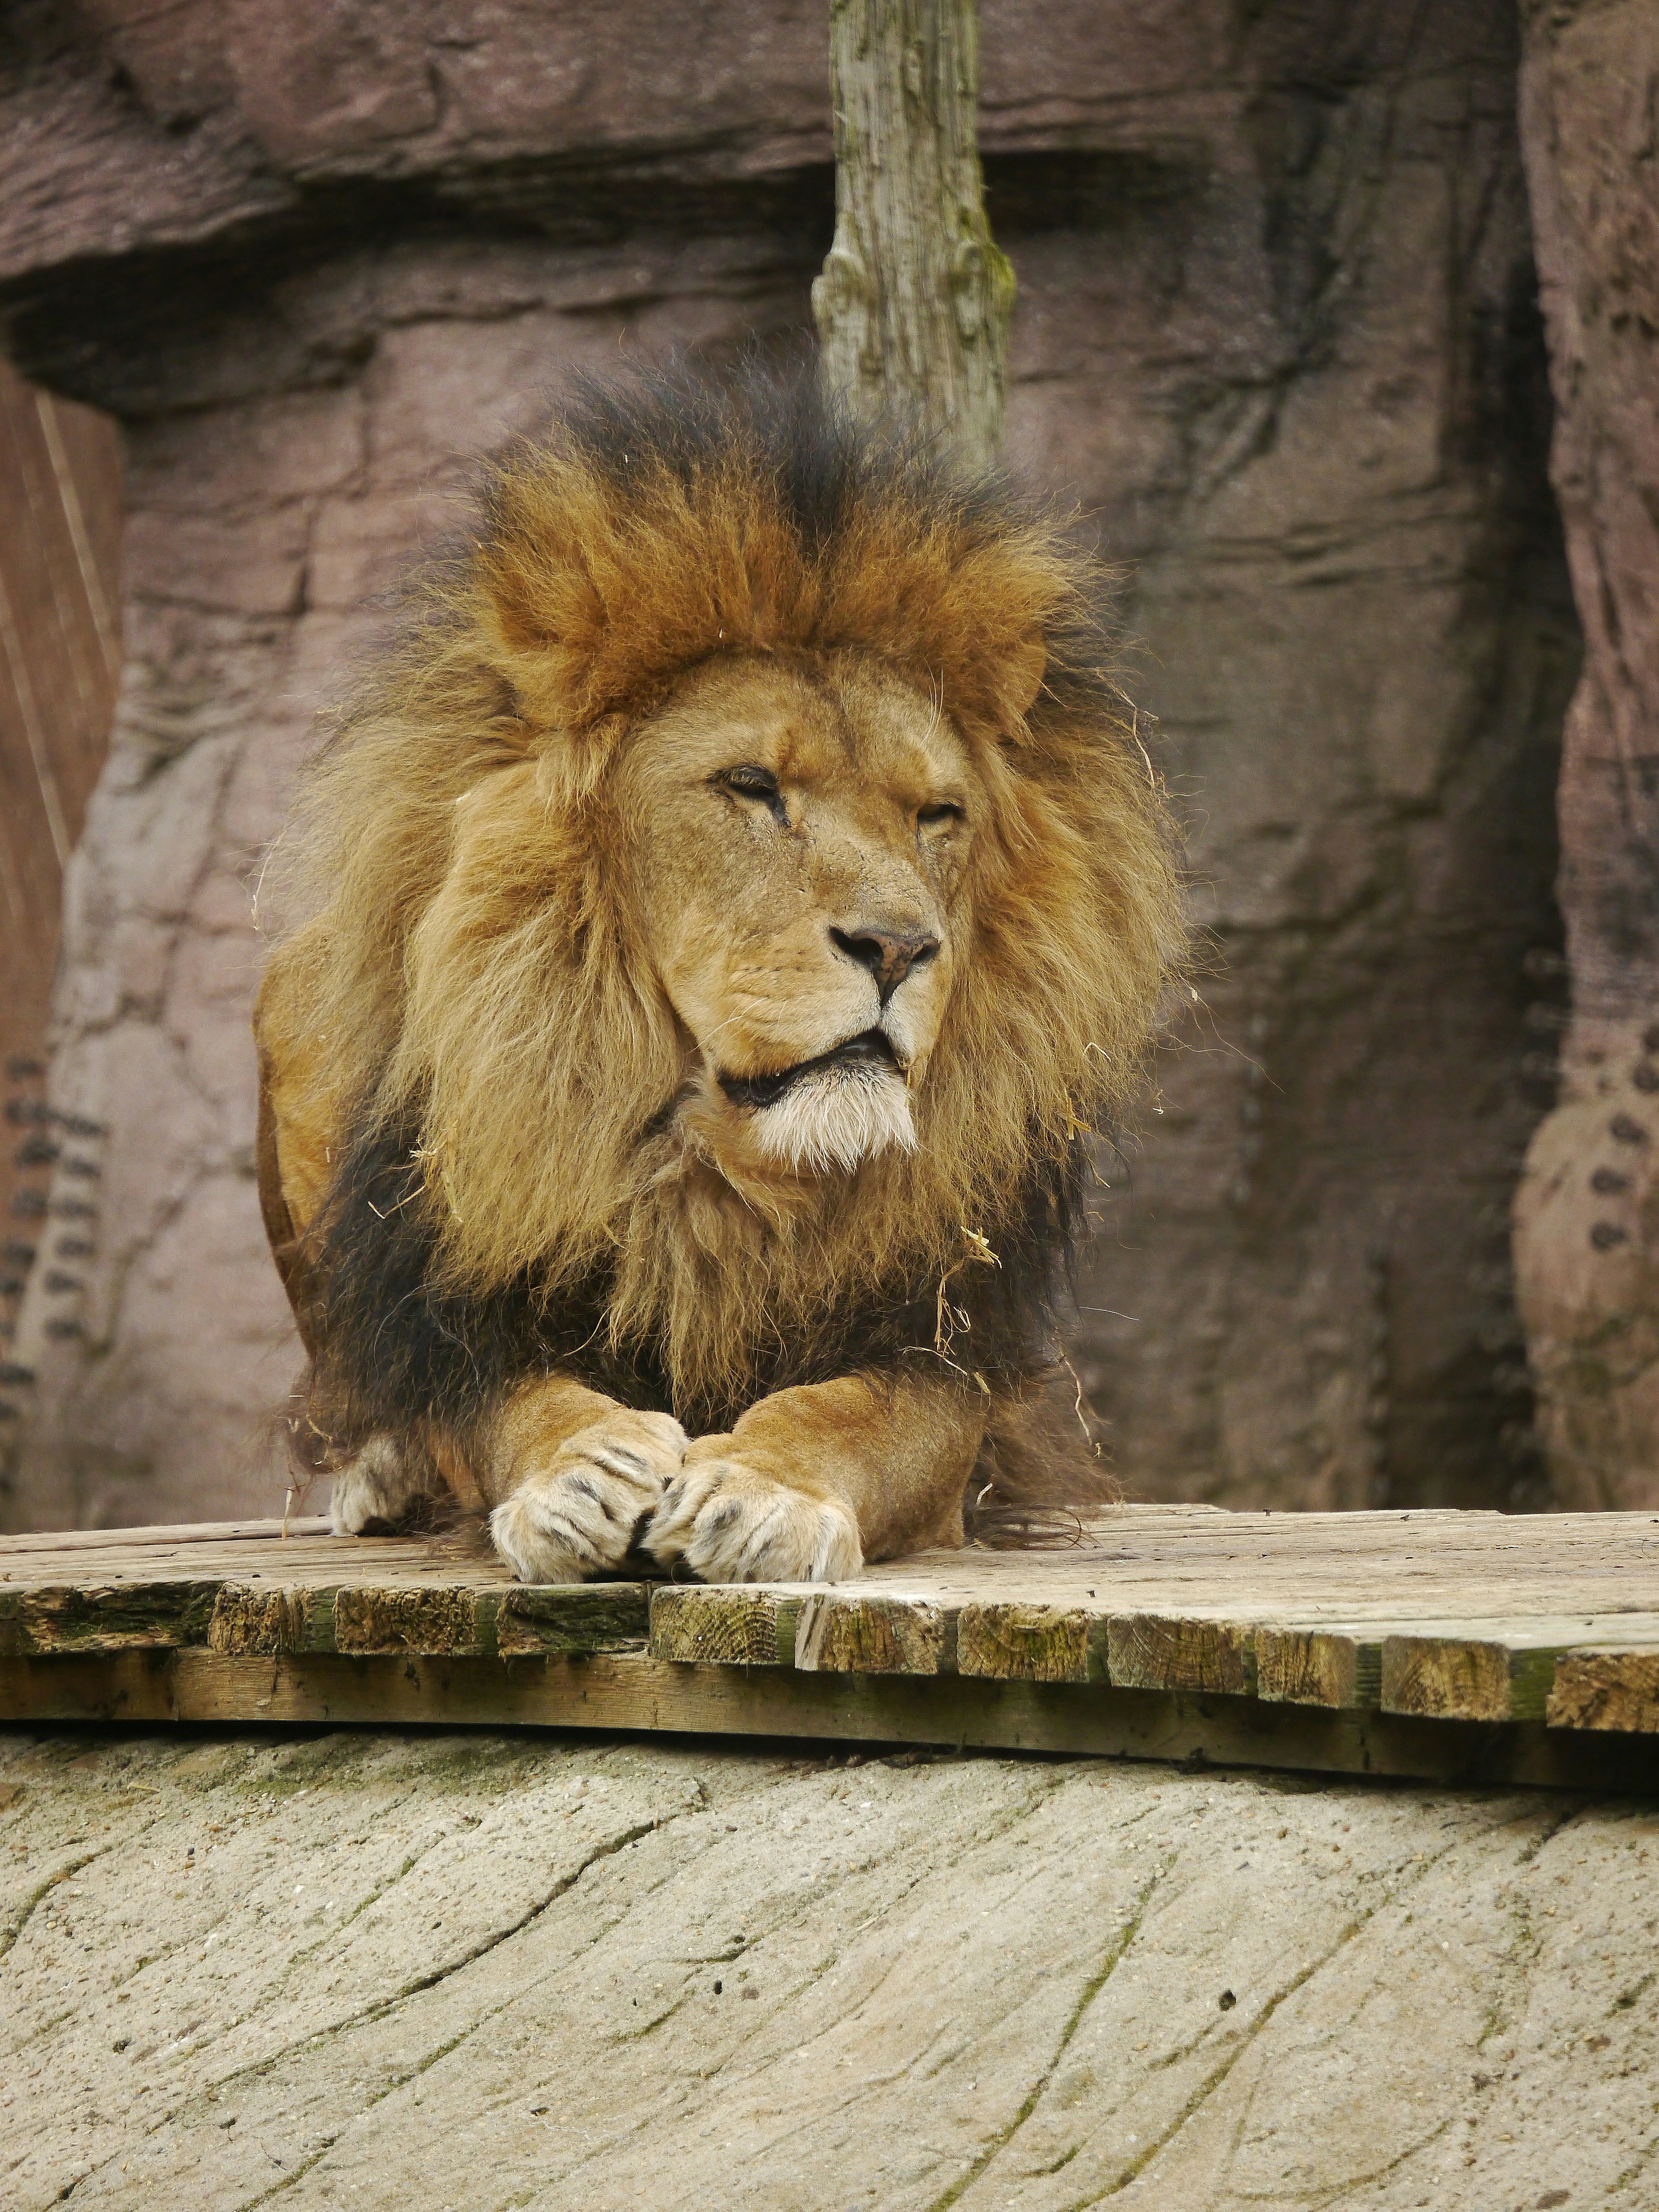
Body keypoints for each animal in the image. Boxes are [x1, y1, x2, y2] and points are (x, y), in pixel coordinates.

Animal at [254, 363, 1184, 1587]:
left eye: (937, 816)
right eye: (751, 786)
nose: (900, 947)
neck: (722, 1168)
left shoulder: (945, 1357)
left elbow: (852, 1414)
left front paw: (761, 1488)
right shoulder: (467, 1314)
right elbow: (510, 1408)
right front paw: (579, 1474)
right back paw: (380, 1475)